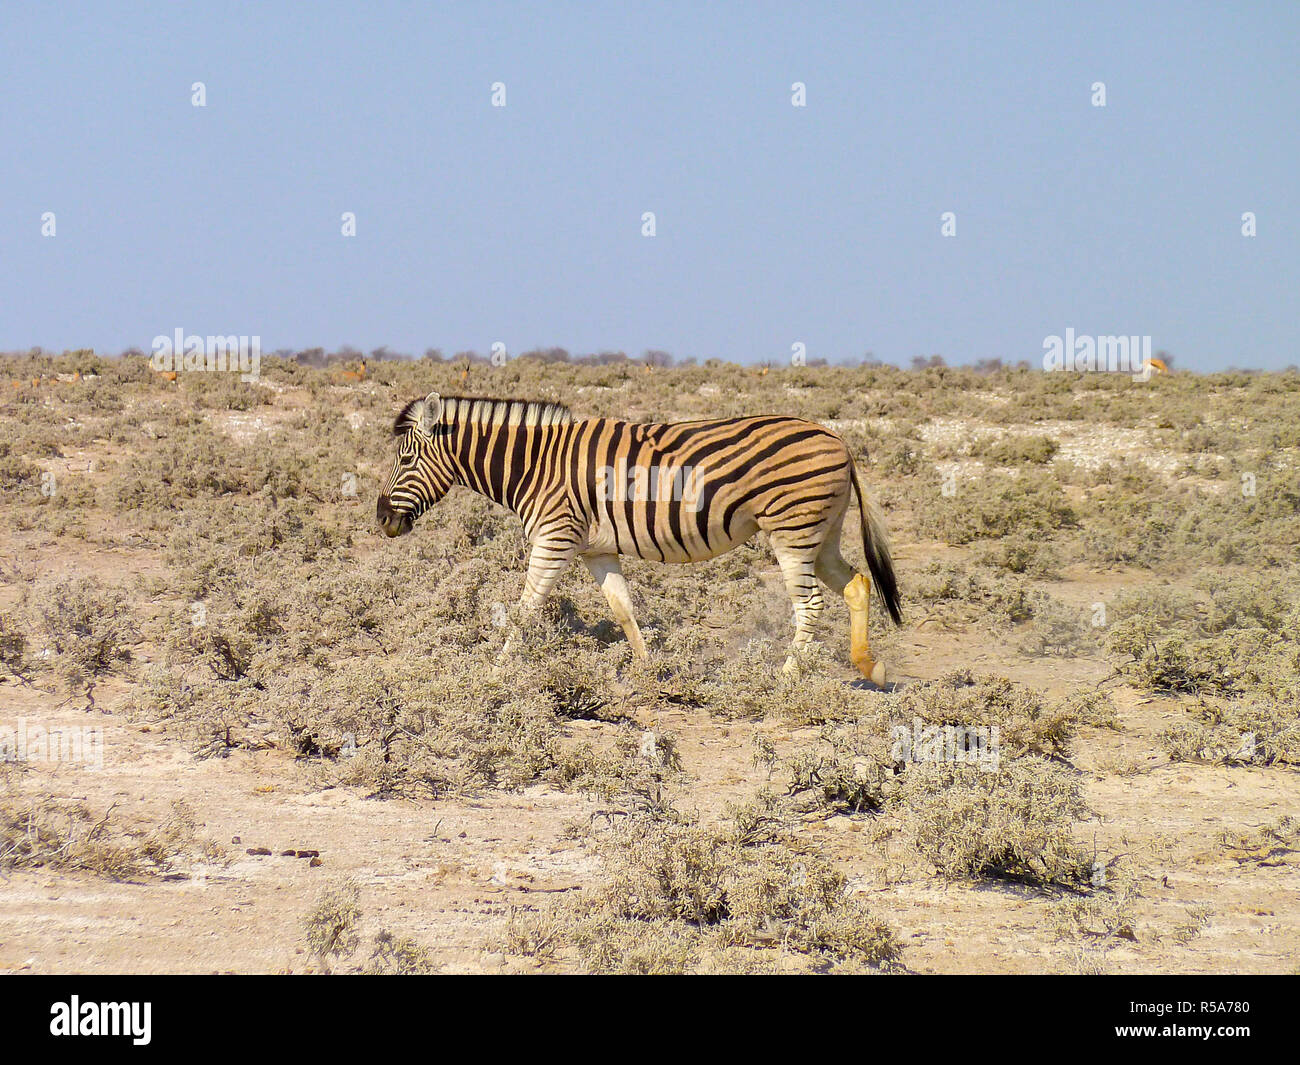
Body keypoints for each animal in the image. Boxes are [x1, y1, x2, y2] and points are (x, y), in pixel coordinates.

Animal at [377, 393, 901, 682]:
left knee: (809, 604)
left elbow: (526, 608)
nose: (381, 519)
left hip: (792, 530)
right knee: (856, 585)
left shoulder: (554, 536)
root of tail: (837, 438)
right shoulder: (596, 549)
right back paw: (870, 667)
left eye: (406, 460)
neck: (536, 464)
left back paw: (786, 678)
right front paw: (649, 671)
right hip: (821, 532)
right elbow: (623, 609)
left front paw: (496, 672)